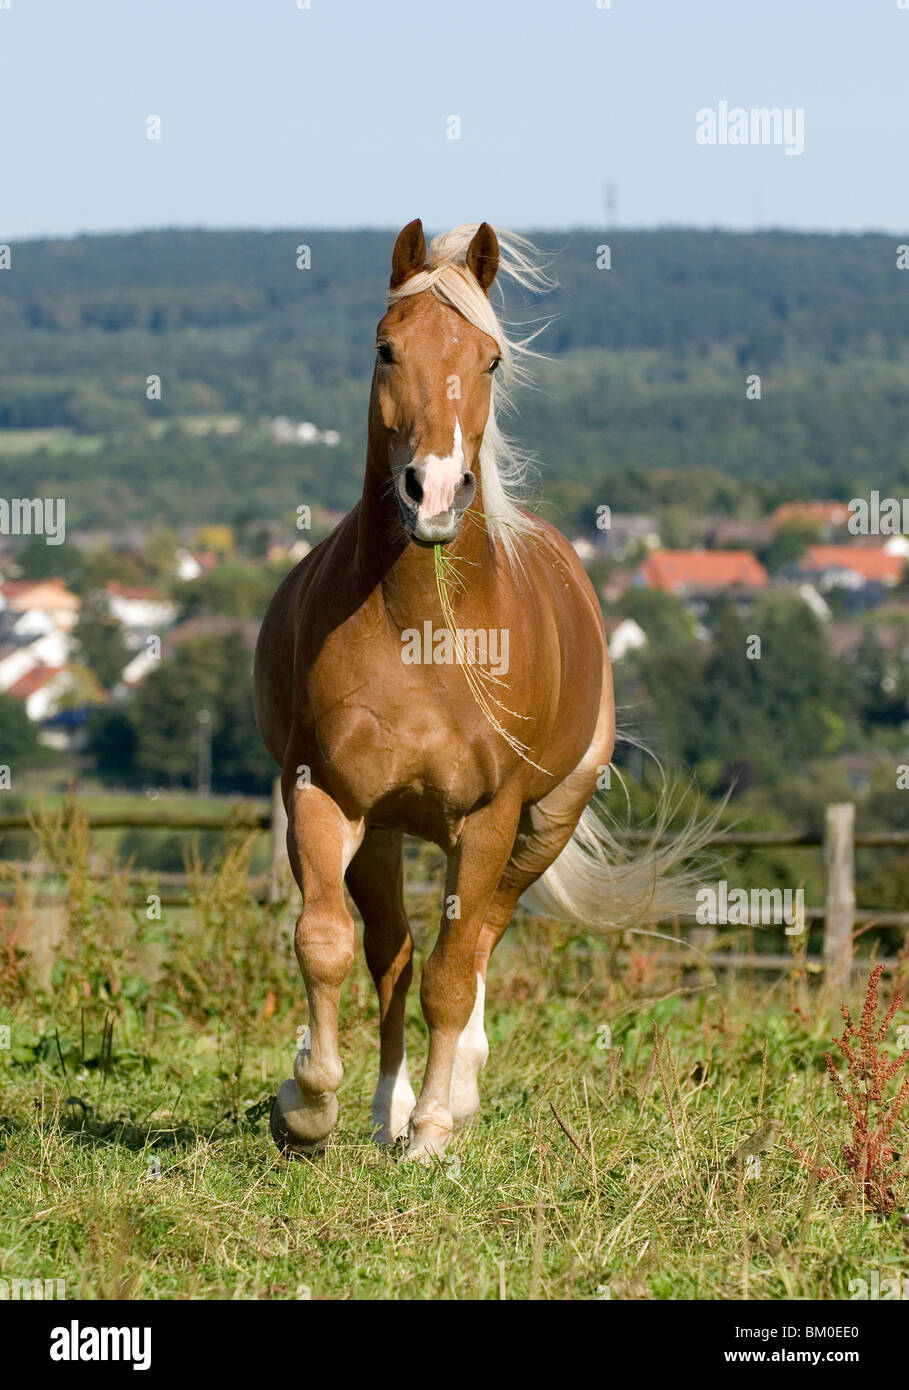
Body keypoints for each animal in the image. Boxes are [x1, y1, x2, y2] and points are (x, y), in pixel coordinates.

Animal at [254, 220, 703, 1161]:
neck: (423, 626)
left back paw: (449, 1096)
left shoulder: (491, 819)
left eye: (491, 360)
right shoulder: (323, 794)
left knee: (481, 939)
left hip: (544, 823)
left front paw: (430, 1131)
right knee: (392, 953)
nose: (432, 491)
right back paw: (383, 1105)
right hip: (386, 831)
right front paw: (307, 1103)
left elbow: (454, 976)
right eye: (385, 348)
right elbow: (328, 944)